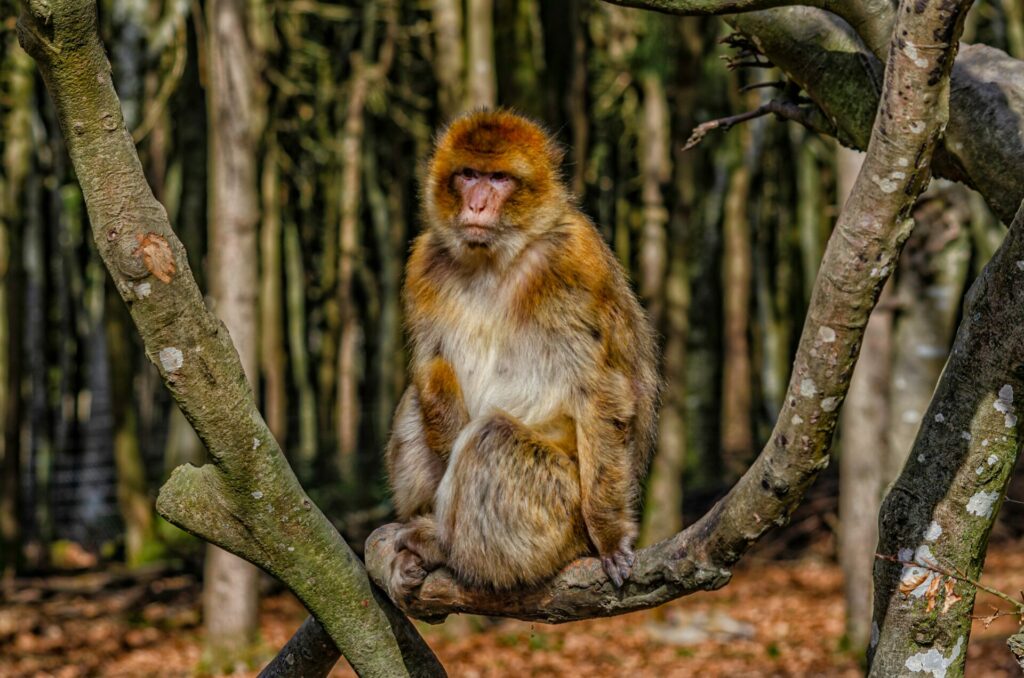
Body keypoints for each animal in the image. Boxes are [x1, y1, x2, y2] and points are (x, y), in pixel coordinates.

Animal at [382, 107, 655, 602]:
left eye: (499, 178)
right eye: (468, 175)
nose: (476, 205)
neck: (495, 258)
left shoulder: (573, 262)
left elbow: (600, 391)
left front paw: (610, 536)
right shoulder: (423, 263)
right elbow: (430, 366)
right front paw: (441, 405)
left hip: (559, 513)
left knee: (493, 438)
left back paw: (443, 546)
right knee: (416, 400)